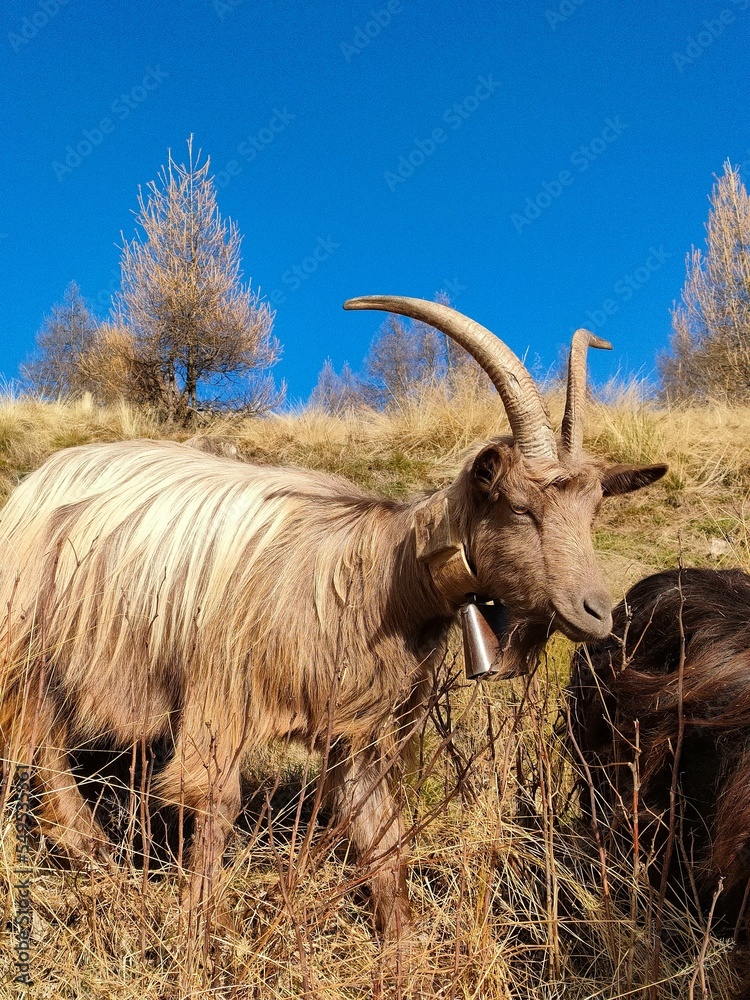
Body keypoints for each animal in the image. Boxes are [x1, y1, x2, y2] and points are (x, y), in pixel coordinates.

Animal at [0, 296, 666, 940]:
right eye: (520, 507)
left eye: (593, 511)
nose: (596, 614)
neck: (377, 576)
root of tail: (36, 482)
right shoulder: (222, 696)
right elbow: (215, 804)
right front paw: (199, 934)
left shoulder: (359, 729)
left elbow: (381, 834)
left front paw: (402, 955)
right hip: (29, 648)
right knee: (38, 741)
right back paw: (90, 852)